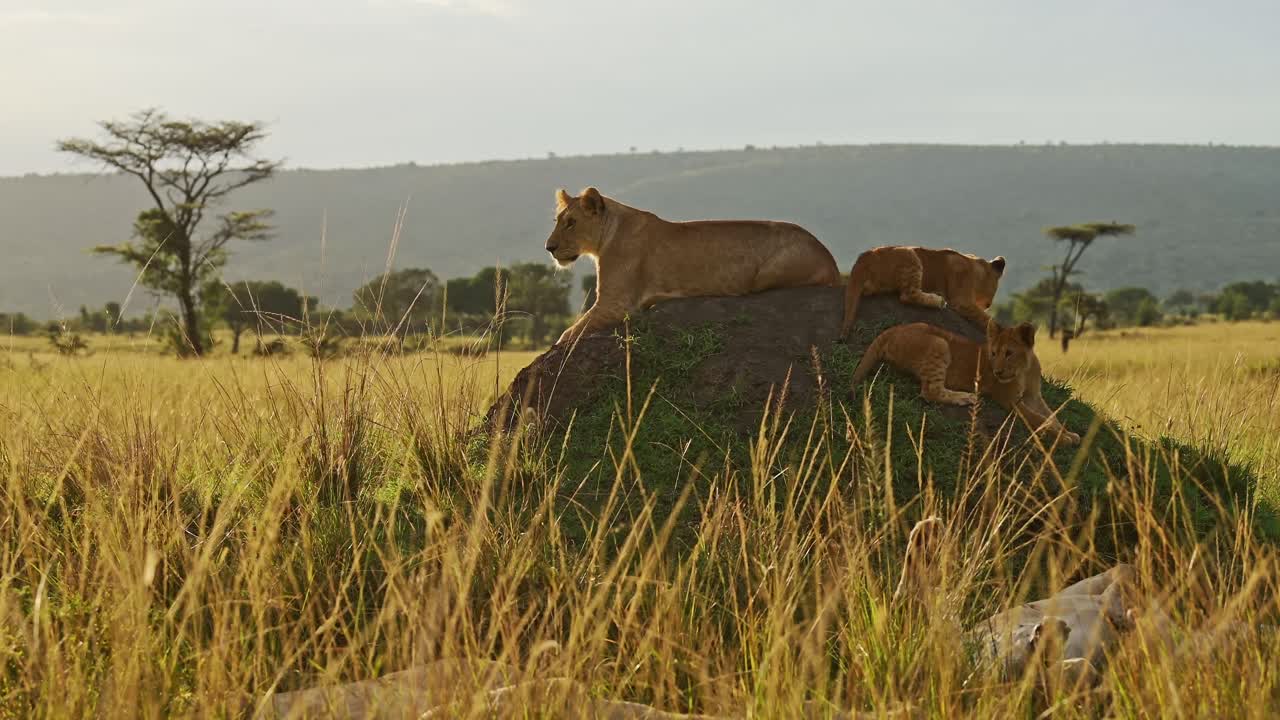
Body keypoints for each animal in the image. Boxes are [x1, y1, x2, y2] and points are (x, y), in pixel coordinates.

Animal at [546, 187, 841, 345]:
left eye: (571, 223)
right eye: (557, 220)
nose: (549, 247)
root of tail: (830, 258)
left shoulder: (615, 304)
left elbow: (567, 335)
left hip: (766, 275)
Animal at [840, 246, 1006, 340]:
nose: (988, 305)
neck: (974, 265)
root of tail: (865, 256)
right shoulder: (961, 300)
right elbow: (988, 320)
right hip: (909, 255)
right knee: (907, 295)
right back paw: (938, 301)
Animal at [848, 319, 1080, 445]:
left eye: (1009, 353)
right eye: (993, 353)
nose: (997, 372)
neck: (1024, 369)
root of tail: (891, 330)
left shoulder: (1034, 397)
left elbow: (1052, 415)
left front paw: (1069, 433)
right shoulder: (1011, 401)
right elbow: (1038, 419)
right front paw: (1062, 439)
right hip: (939, 343)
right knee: (930, 391)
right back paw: (967, 397)